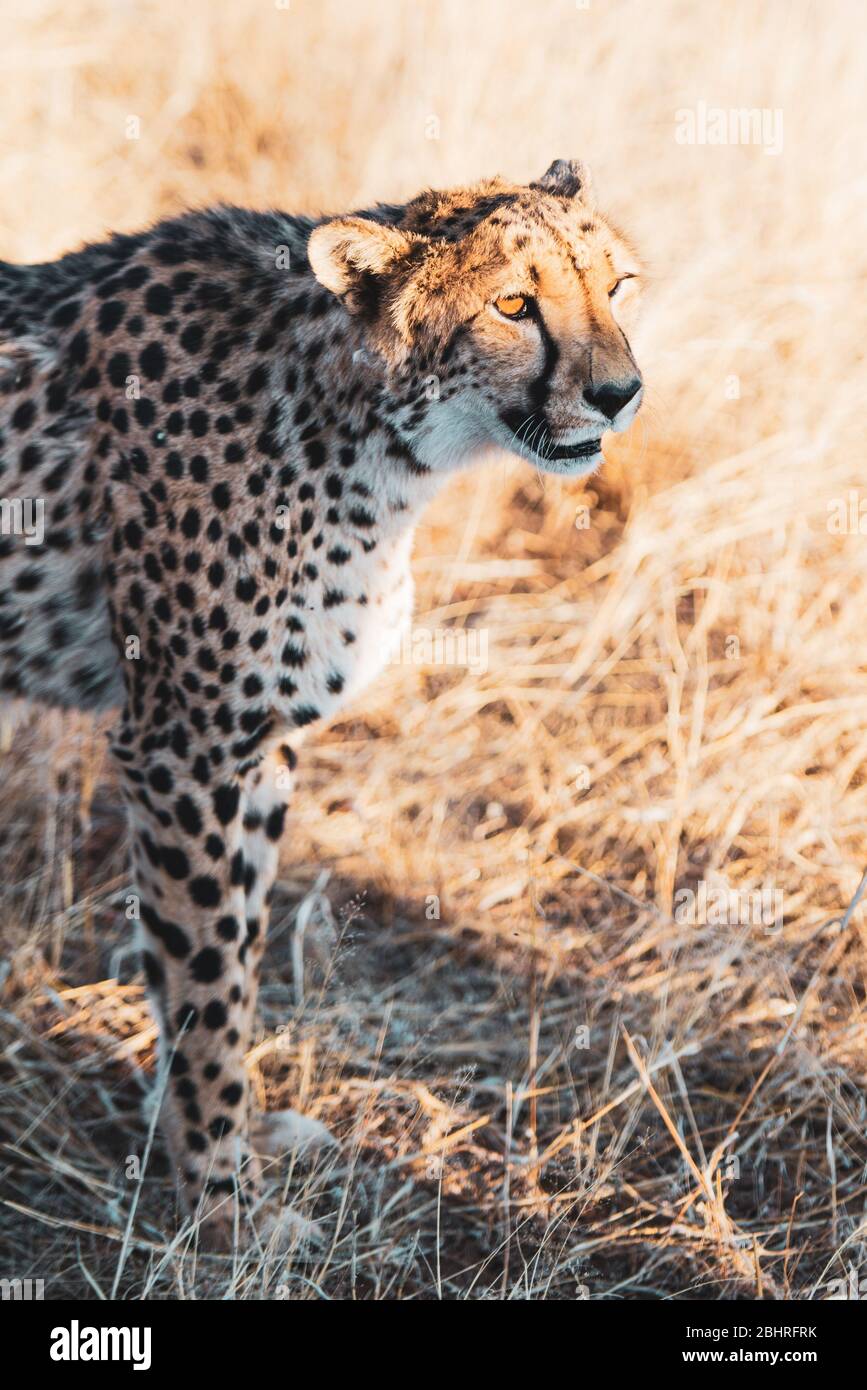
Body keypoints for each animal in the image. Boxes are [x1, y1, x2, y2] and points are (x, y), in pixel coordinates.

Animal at [0, 158, 643, 1246]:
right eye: (514, 305)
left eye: (616, 286)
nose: (620, 393)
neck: (366, 425)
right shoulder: (185, 746)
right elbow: (208, 976)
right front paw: (223, 1203)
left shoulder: (257, 744)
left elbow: (225, 953)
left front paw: (219, 1142)